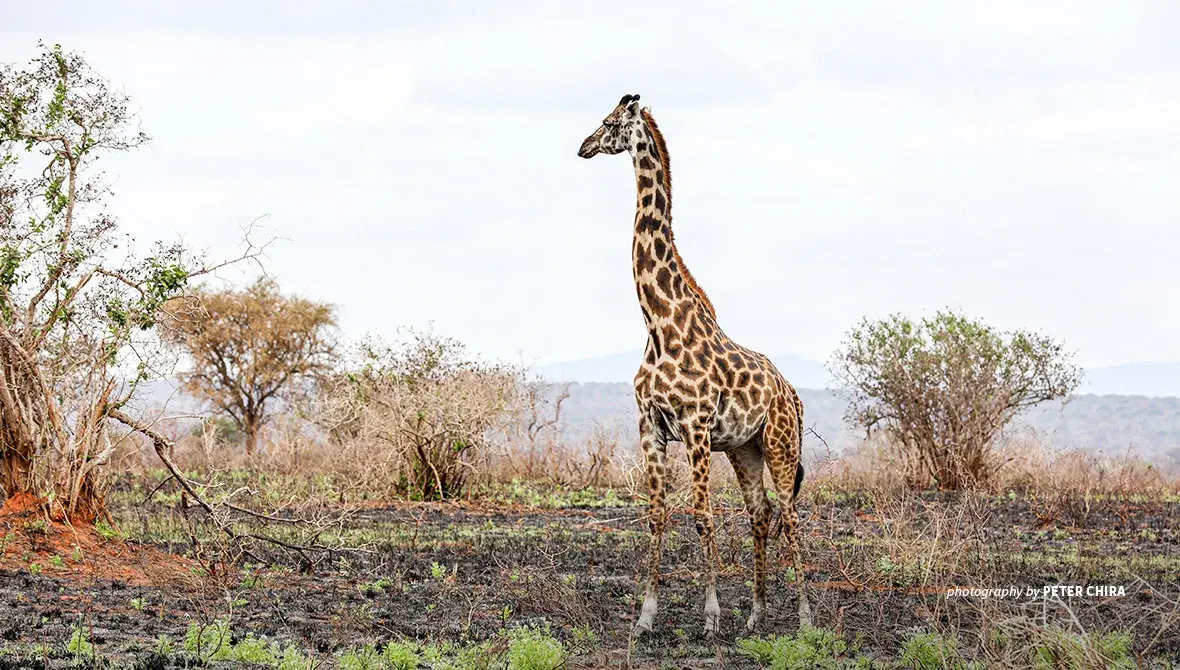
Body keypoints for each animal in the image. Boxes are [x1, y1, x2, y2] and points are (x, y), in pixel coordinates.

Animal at [578, 94, 811, 637]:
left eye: (610, 122)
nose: (583, 146)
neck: (658, 323)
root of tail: (792, 394)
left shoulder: (697, 425)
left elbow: (702, 514)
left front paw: (710, 617)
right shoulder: (651, 425)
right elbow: (657, 514)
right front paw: (645, 618)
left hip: (780, 443)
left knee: (790, 514)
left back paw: (806, 618)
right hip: (745, 448)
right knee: (760, 512)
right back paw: (756, 615)